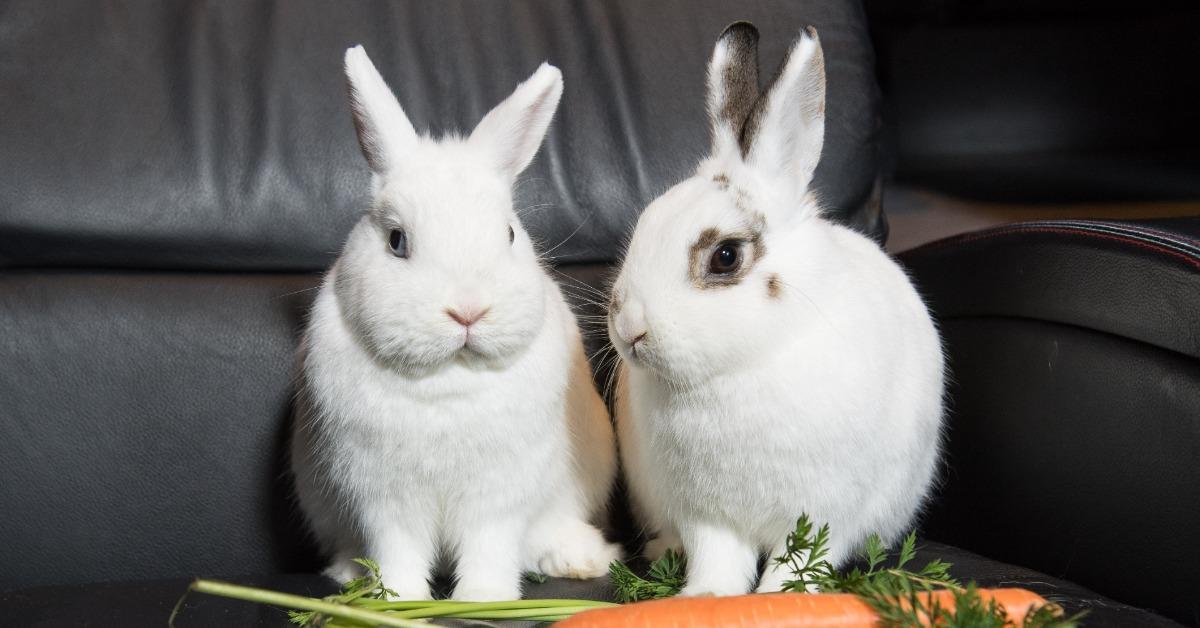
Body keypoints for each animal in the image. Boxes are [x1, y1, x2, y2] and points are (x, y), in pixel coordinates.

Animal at [290, 45, 620, 602]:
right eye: (396, 241)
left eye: (509, 234)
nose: (468, 310)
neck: (449, 379)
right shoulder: (382, 496)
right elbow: (398, 550)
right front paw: (398, 600)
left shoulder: (500, 493)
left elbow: (490, 545)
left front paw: (483, 598)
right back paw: (351, 574)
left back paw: (579, 559)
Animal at [608, 23, 945, 597]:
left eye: (725, 257)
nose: (629, 328)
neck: (739, 369)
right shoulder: (706, 514)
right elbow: (716, 557)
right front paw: (707, 597)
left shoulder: (824, 508)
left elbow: (799, 560)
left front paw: (780, 599)